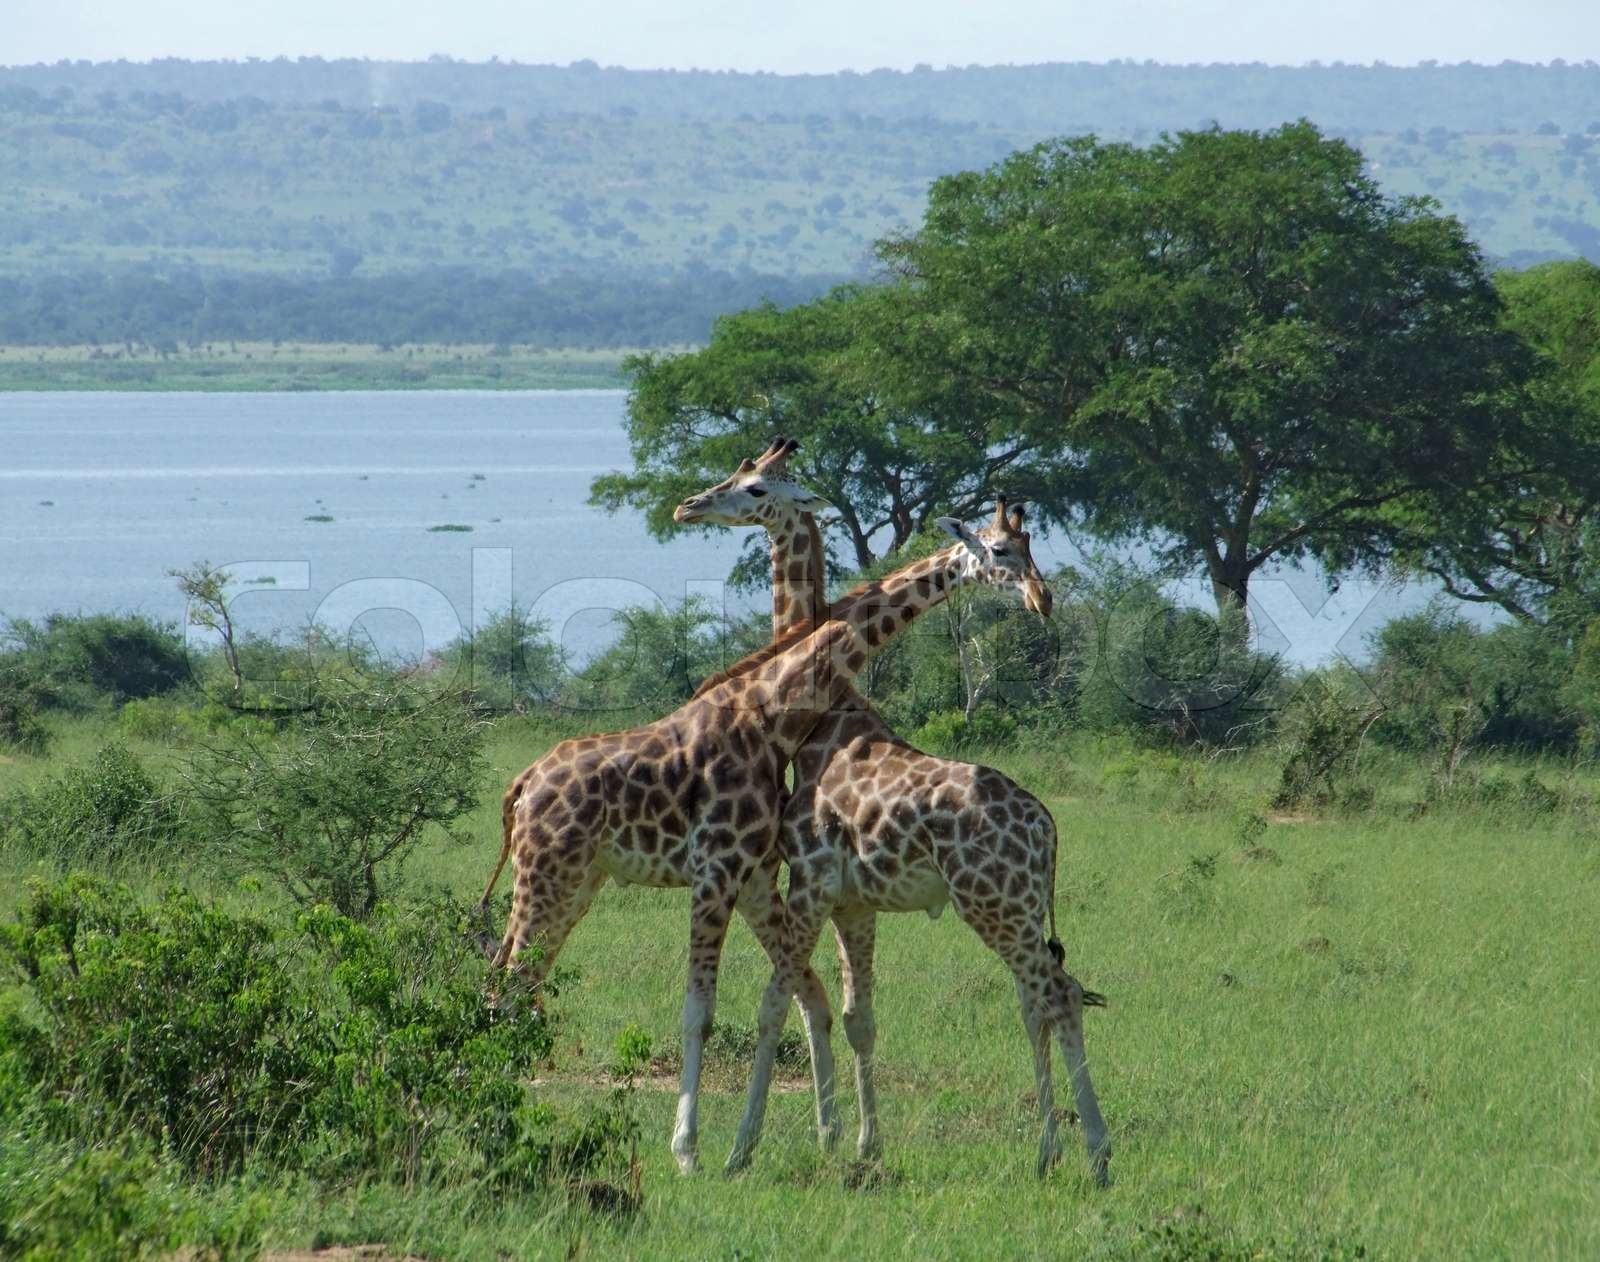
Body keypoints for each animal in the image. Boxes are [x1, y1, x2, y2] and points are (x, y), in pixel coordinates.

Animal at [488, 494, 1055, 1174]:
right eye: (1000, 550)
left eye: (1030, 547)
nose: (1042, 598)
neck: (773, 713)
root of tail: (523, 783)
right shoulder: (718, 870)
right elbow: (703, 1011)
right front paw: (691, 1152)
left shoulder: (758, 876)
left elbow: (804, 998)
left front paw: (820, 1137)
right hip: (550, 873)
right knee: (509, 985)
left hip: (577, 881)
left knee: (514, 981)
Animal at [672, 438, 1111, 1184]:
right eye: (738, 474)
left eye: (755, 487)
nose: (689, 505)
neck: (828, 718)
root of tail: (1048, 828)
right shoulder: (854, 900)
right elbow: (857, 1016)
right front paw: (861, 1145)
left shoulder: (813, 880)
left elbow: (772, 1006)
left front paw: (739, 1149)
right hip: (1019, 908)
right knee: (1053, 994)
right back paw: (1071, 1151)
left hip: (992, 903)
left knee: (1051, 995)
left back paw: (1076, 1152)